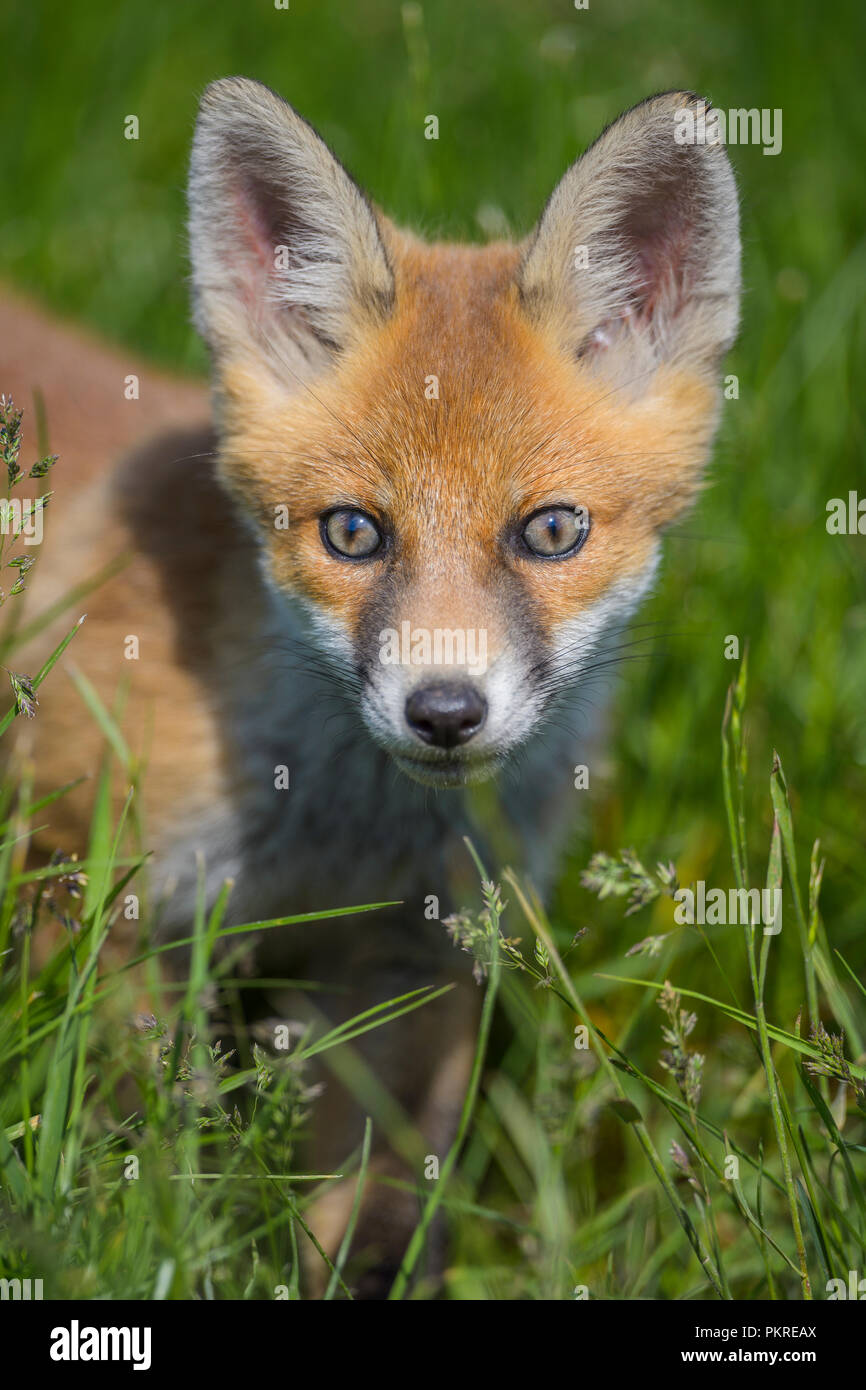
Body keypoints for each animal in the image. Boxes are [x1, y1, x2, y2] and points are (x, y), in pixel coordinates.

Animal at [4, 80, 740, 1297]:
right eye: (353, 532)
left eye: (550, 531)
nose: (443, 712)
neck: (333, 832)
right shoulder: (86, 888)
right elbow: (138, 1159)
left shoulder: (410, 956)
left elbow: (376, 1212)